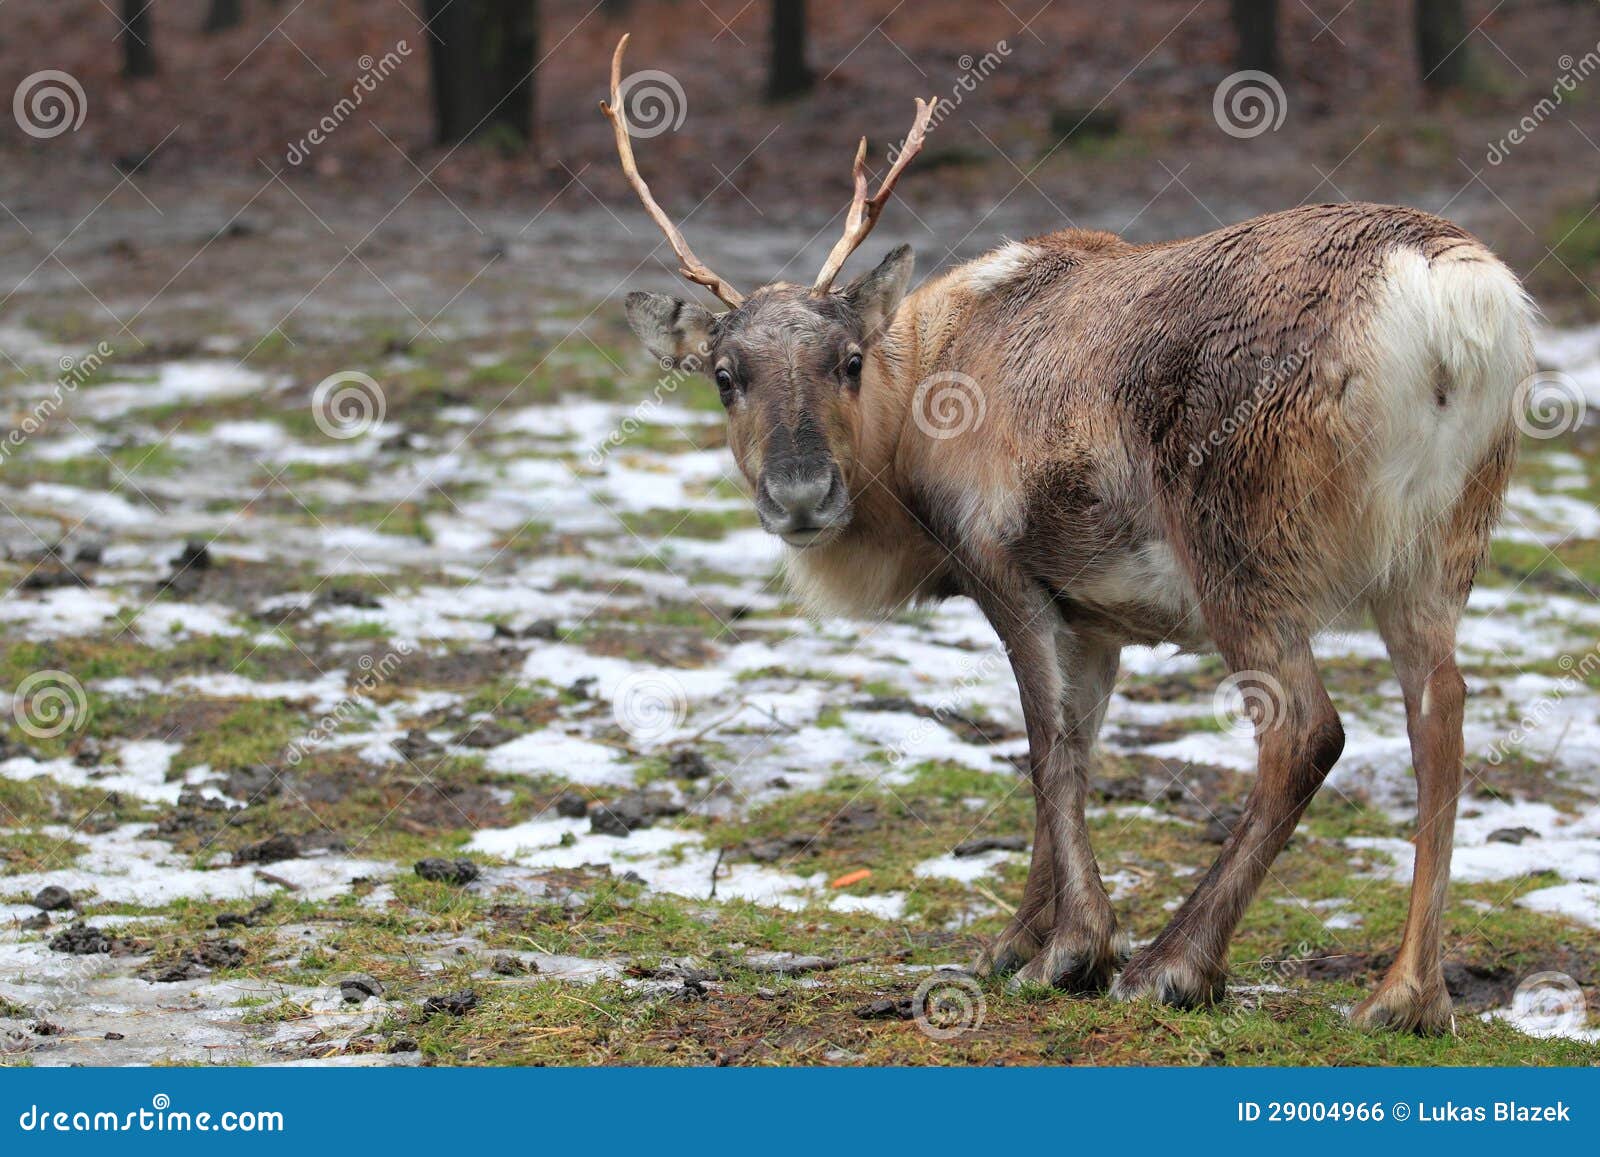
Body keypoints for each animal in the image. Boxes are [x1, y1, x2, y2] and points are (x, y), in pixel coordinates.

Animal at [601, 35, 1535, 1033]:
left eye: (847, 360)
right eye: (724, 374)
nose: (802, 492)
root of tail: (1452, 306)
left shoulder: (1000, 565)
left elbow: (1045, 747)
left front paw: (1075, 948)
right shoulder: (1097, 614)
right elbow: (1080, 748)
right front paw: (1017, 938)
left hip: (1238, 540)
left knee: (1307, 731)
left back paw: (1177, 964)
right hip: (1440, 550)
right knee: (1442, 709)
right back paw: (1410, 993)